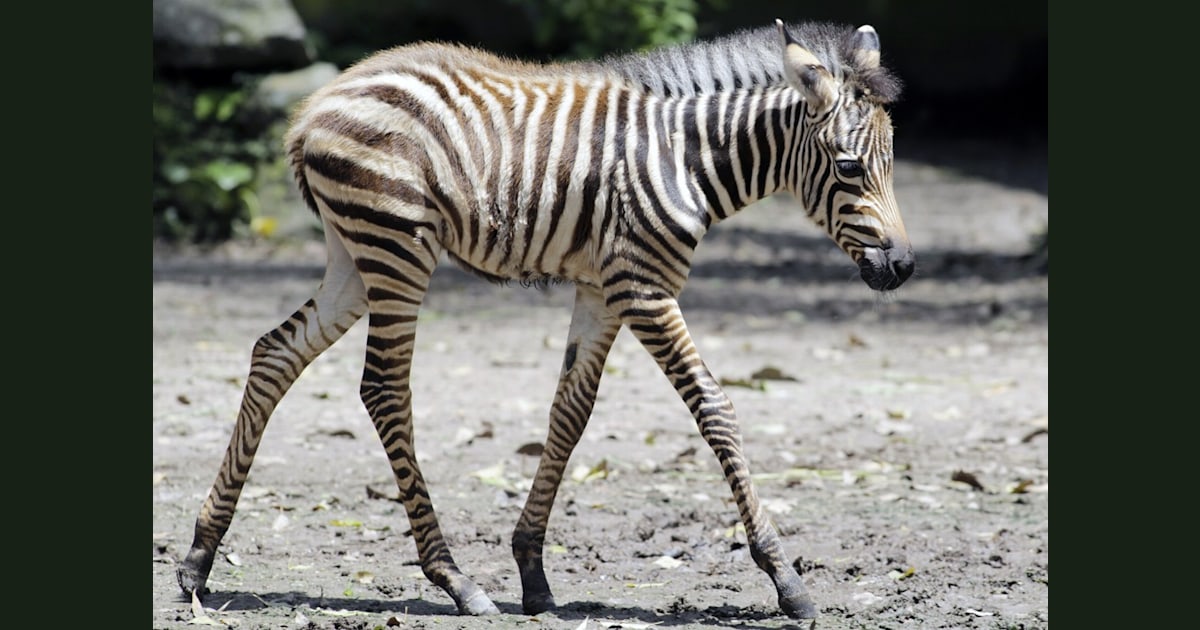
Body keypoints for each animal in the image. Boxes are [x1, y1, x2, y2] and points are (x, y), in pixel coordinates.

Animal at [176, 19, 913, 620]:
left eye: (891, 162)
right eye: (850, 167)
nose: (904, 267)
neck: (687, 160)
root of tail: (316, 107)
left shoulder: (601, 288)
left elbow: (570, 413)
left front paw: (532, 569)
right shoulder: (643, 285)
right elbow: (714, 406)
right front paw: (785, 578)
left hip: (352, 259)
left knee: (274, 353)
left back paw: (198, 561)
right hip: (396, 247)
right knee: (382, 388)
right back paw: (455, 581)